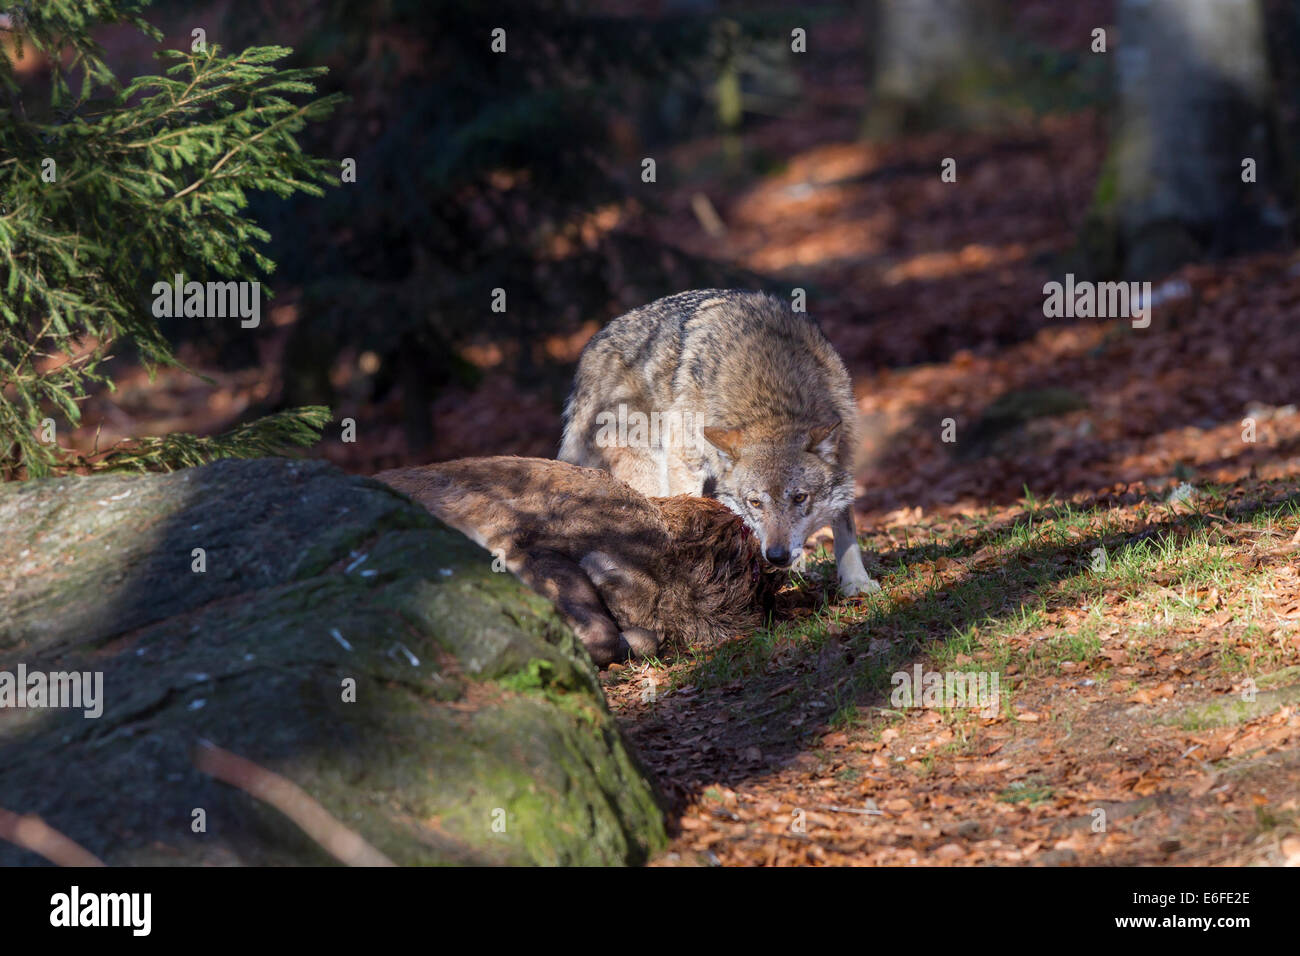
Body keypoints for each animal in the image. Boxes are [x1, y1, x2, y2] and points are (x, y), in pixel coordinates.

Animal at [559, 289, 879, 596]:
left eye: (800, 498)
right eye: (755, 502)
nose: (777, 555)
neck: (773, 402)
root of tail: (591, 347)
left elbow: (846, 529)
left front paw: (856, 583)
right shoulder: (685, 461)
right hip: (649, 471)